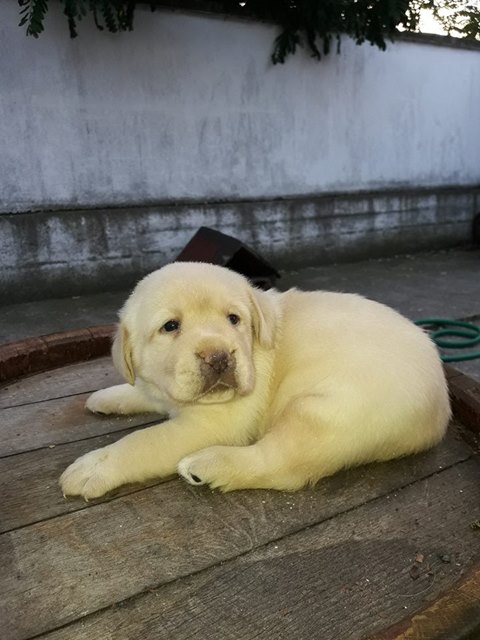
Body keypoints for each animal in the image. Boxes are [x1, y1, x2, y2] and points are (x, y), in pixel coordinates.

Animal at [59, 262, 450, 500]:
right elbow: (144, 389)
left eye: (234, 319)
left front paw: (95, 466)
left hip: (322, 414)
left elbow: (142, 442)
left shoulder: (213, 423)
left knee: (280, 466)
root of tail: (441, 404)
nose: (219, 357)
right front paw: (107, 396)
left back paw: (208, 466)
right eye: (170, 326)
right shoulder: (165, 387)